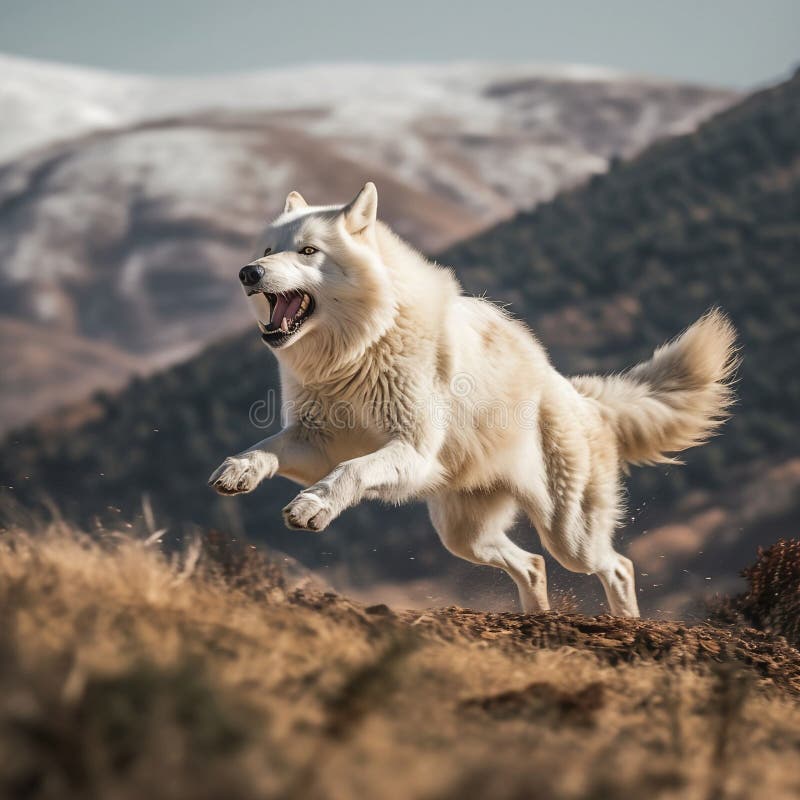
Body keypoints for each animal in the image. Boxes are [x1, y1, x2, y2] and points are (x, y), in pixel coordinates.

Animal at [208, 183, 737, 617]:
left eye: (308, 251)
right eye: (268, 250)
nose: (248, 272)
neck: (358, 351)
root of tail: (580, 394)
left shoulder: (410, 451)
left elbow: (351, 472)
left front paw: (311, 507)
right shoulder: (317, 440)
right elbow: (267, 449)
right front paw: (239, 470)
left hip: (569, 536)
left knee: (617, 565)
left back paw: (627, 625)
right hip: (464, 538)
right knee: (532, 564)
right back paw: (537, 622)